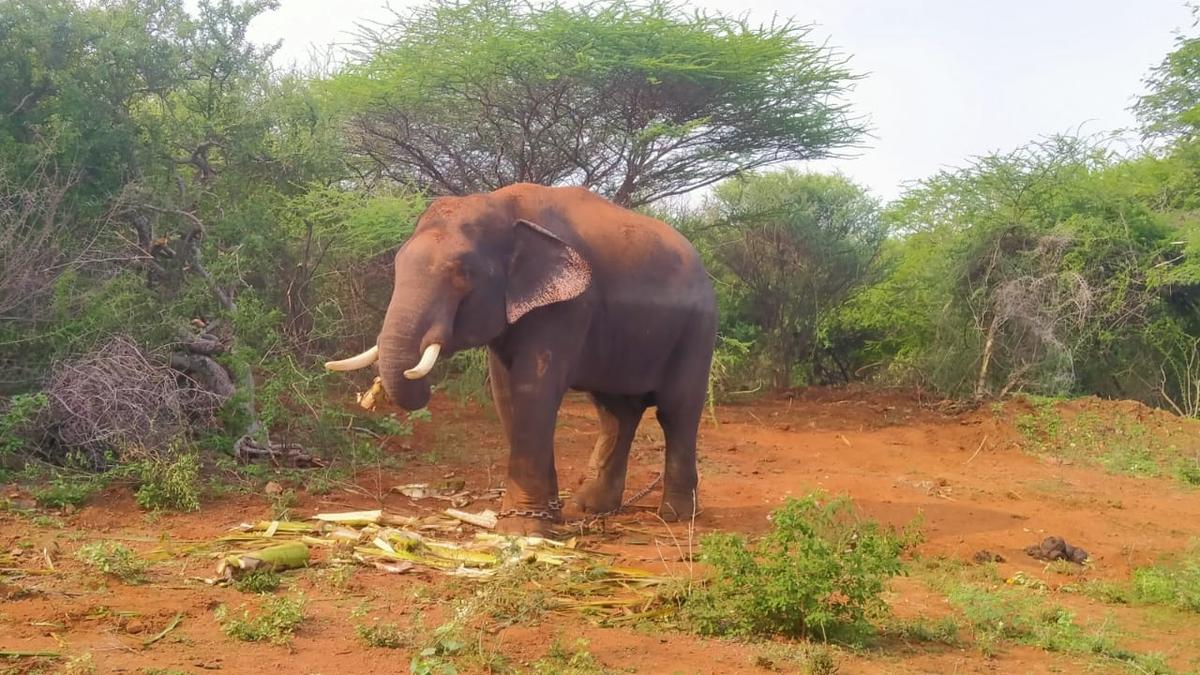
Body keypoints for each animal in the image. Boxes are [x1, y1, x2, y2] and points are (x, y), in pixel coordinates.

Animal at [325, 183, 717, 535]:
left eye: (463, 272)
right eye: (397, 265)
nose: (371, 395)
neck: (502, 206)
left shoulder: (570, 306)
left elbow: (534, 389)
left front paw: (522, 529)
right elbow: (506, 394)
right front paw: (546, 517)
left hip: (698, 328)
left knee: (676, 410)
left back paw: (676, 516)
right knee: (616, 413)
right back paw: (588, 508)